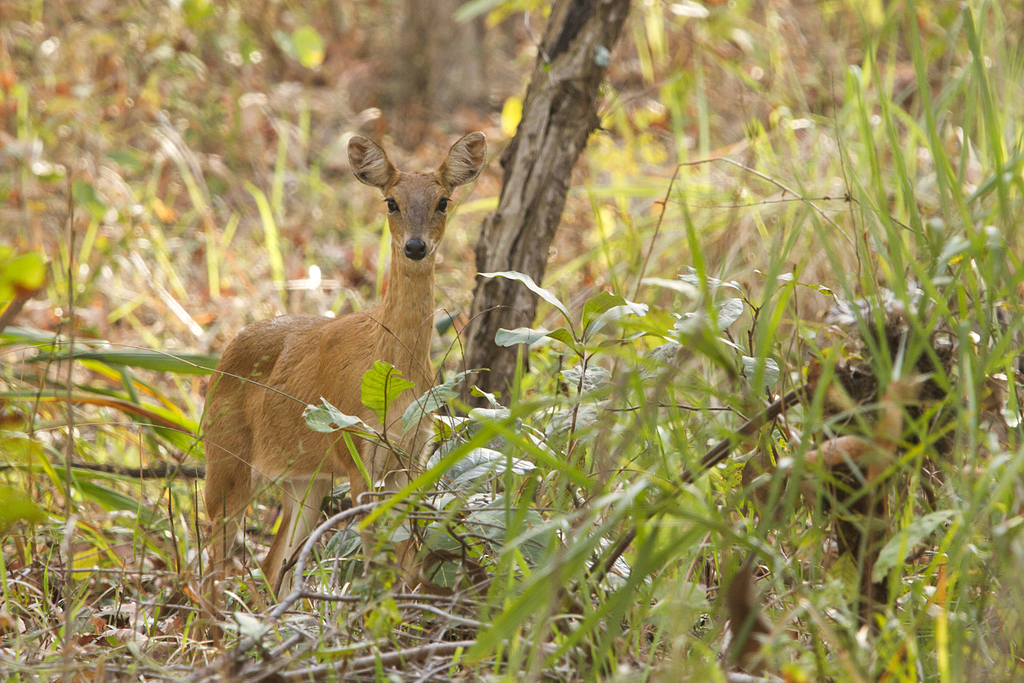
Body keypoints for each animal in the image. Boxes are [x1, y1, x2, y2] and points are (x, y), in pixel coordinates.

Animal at [203, 132, 487, 604]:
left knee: (272, 565)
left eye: (443, 201)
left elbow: (407, 558)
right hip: (225, 462)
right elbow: (377, 558)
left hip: (306, 479)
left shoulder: (412, 453)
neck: (393, 372)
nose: (415, 247)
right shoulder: (356, 446)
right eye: (391, 202)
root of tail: (221, 359)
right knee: (209, 567)